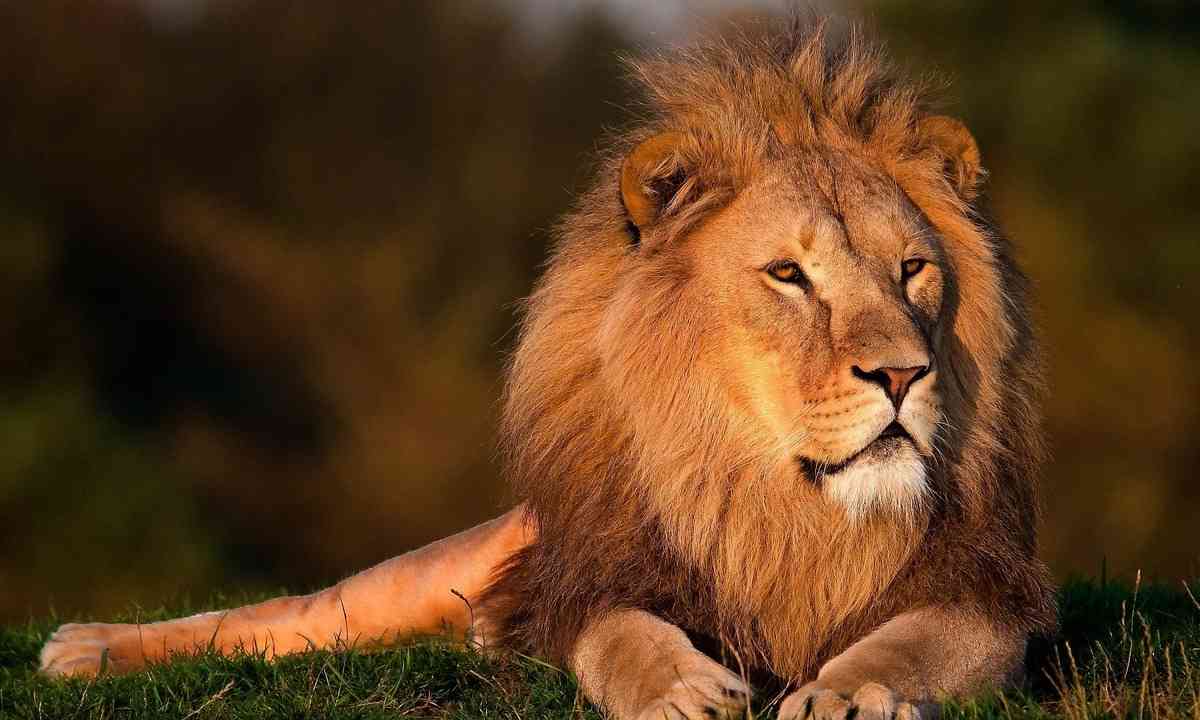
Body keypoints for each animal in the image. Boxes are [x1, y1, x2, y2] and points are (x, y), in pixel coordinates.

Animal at [39, 20, 1056, 720]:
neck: (778, 507)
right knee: (292, 614)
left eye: (912, 269)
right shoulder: (591, 583)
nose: (903, 375)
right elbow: (621, 637)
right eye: (788, 275)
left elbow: (913, 644)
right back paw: (81, 648)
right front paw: (681, 689)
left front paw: (848, 692)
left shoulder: (986, 597)